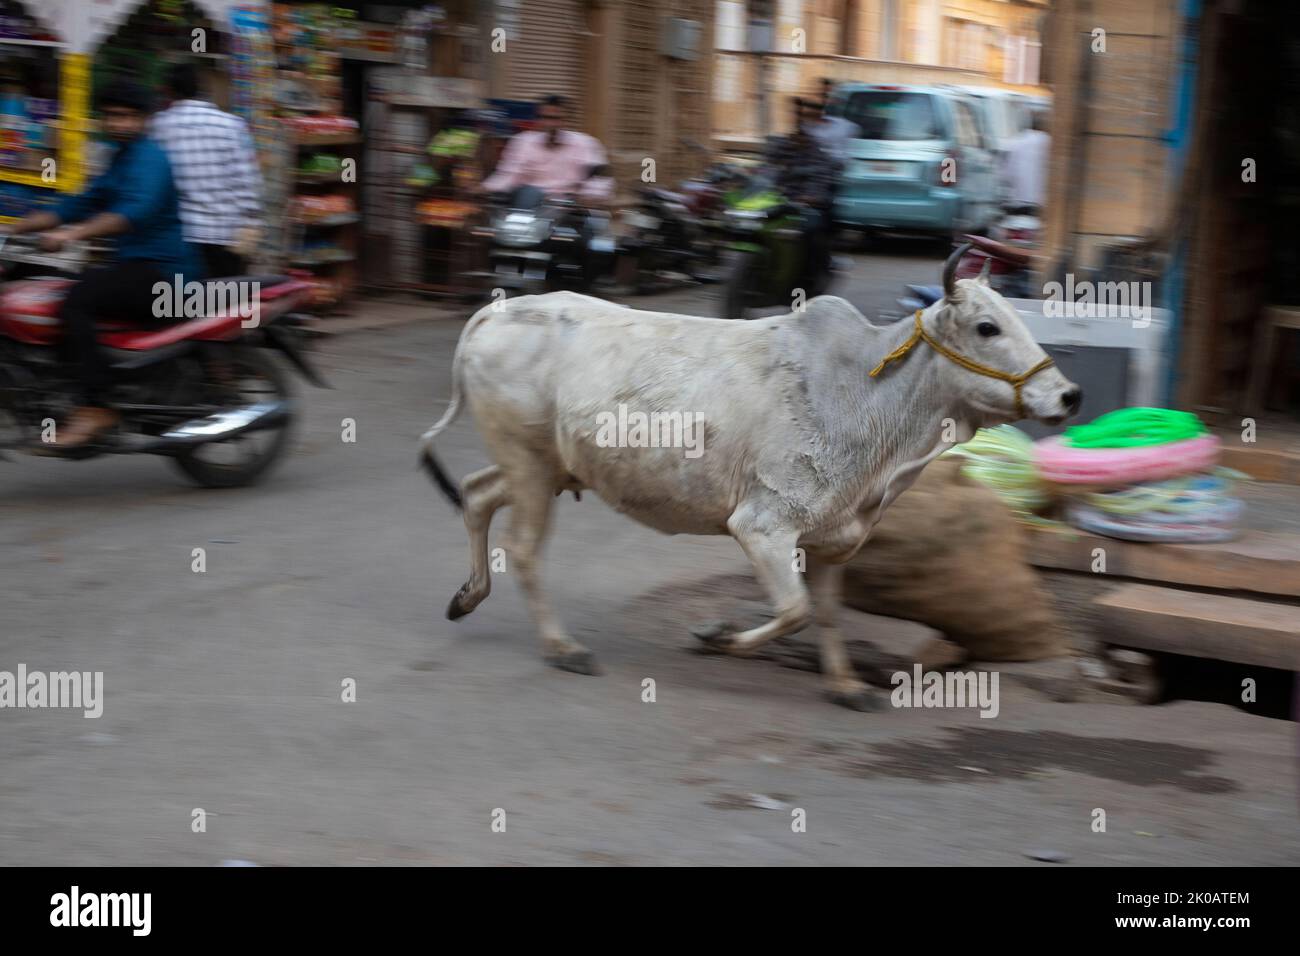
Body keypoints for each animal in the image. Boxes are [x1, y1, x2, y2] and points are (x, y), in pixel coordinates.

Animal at [419, 245, 1080, 710]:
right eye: (988, 327)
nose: (1068, 395)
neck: (866, 396)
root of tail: (497, 311)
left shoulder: (834, 538)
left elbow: (826, 614)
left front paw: (845, 686)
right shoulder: (763, 526)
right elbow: (794, 612)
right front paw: (716, 638)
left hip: (545, 467)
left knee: (475, 495)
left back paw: (465, 597)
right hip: (529, 465)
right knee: (523, 548)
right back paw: (562, 647)